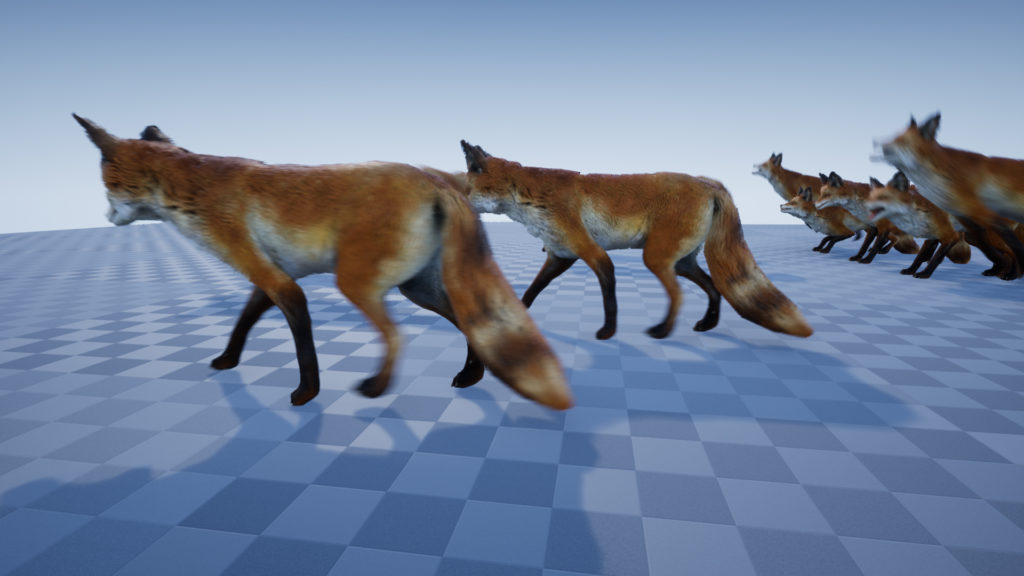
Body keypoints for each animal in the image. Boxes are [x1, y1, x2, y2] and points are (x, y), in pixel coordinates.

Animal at [73, 115, 572, 410]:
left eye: (106, 183)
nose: (107, 217)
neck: (193, 190)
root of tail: (437, 179)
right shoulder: (272, 276)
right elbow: (244, 321)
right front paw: (227, 360)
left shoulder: (279, 281)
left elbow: (302, 343)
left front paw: (306, 392)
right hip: (418, 288)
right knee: (471, 325)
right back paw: (471, 375)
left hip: (357, 283)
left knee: (398, 335)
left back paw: (378, 388)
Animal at [459, 140, 813, 341]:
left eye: (466, 190)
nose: (455, 205)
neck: (531, 197)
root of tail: (709, 182)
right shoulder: (561, 255)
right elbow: (530, 293)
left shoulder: (592, 252)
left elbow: (609, 299)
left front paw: (607, 332)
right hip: (682, 261)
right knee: (714, 288)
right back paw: (707, 324)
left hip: (656, 258)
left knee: (680, 295)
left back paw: (663, 331)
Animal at [876, 113, 1024, 278]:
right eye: (894, 137)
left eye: (902, 141)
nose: (880, 145)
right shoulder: (951, 229)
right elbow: (922, 256)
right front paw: (911, 270)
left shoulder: (959, 230)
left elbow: (935, 257)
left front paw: (924, 274)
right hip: (976, 236)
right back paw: (997, 271)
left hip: (991, 234)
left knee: (1009, 252)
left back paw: (1011, 275)